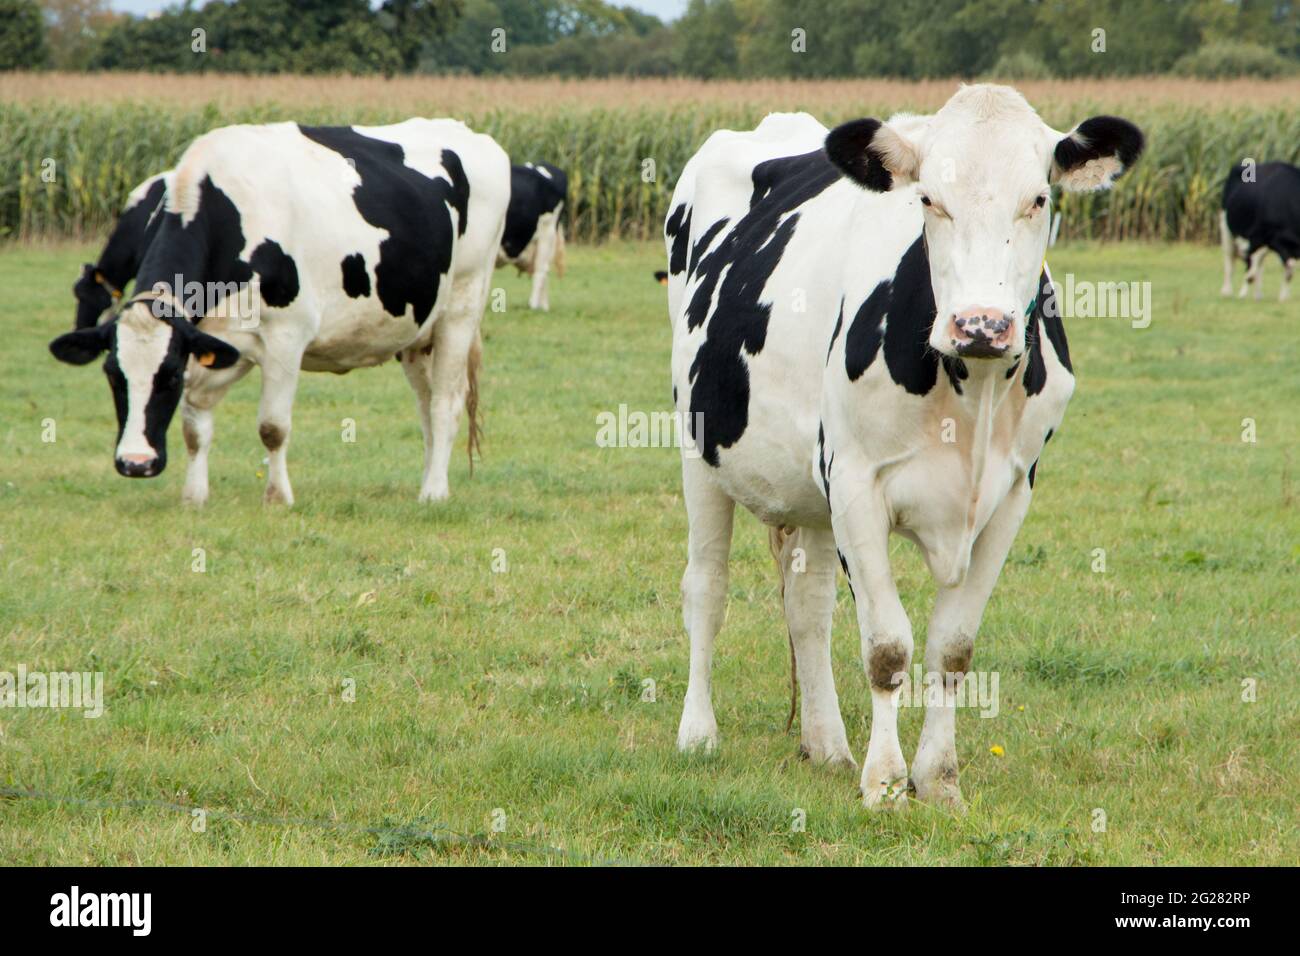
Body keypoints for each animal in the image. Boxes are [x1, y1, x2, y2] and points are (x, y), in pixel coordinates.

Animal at [664, 85, 1143, 810]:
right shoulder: (857, 483)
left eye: (1039, 198)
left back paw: (826, 745)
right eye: (929, 200)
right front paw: (885, 783)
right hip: (701, 448)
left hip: (811, 494)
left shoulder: (1012, 494)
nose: (982, 325)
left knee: (808, 609)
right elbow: (888, 648)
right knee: (706, 588)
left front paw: (939, 781)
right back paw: (699, 734)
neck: (972, 393)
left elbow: (953, 649)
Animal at [1220, 160, 1300, 301]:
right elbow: (1250, 269)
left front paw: (1283, 297)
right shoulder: (1257, 237)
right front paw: (1242, 294)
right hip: (1226, 229)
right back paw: (1227, 291)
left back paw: (1258, 295)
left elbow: (1289, 270)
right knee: (1230, 260)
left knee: (1259, 265)